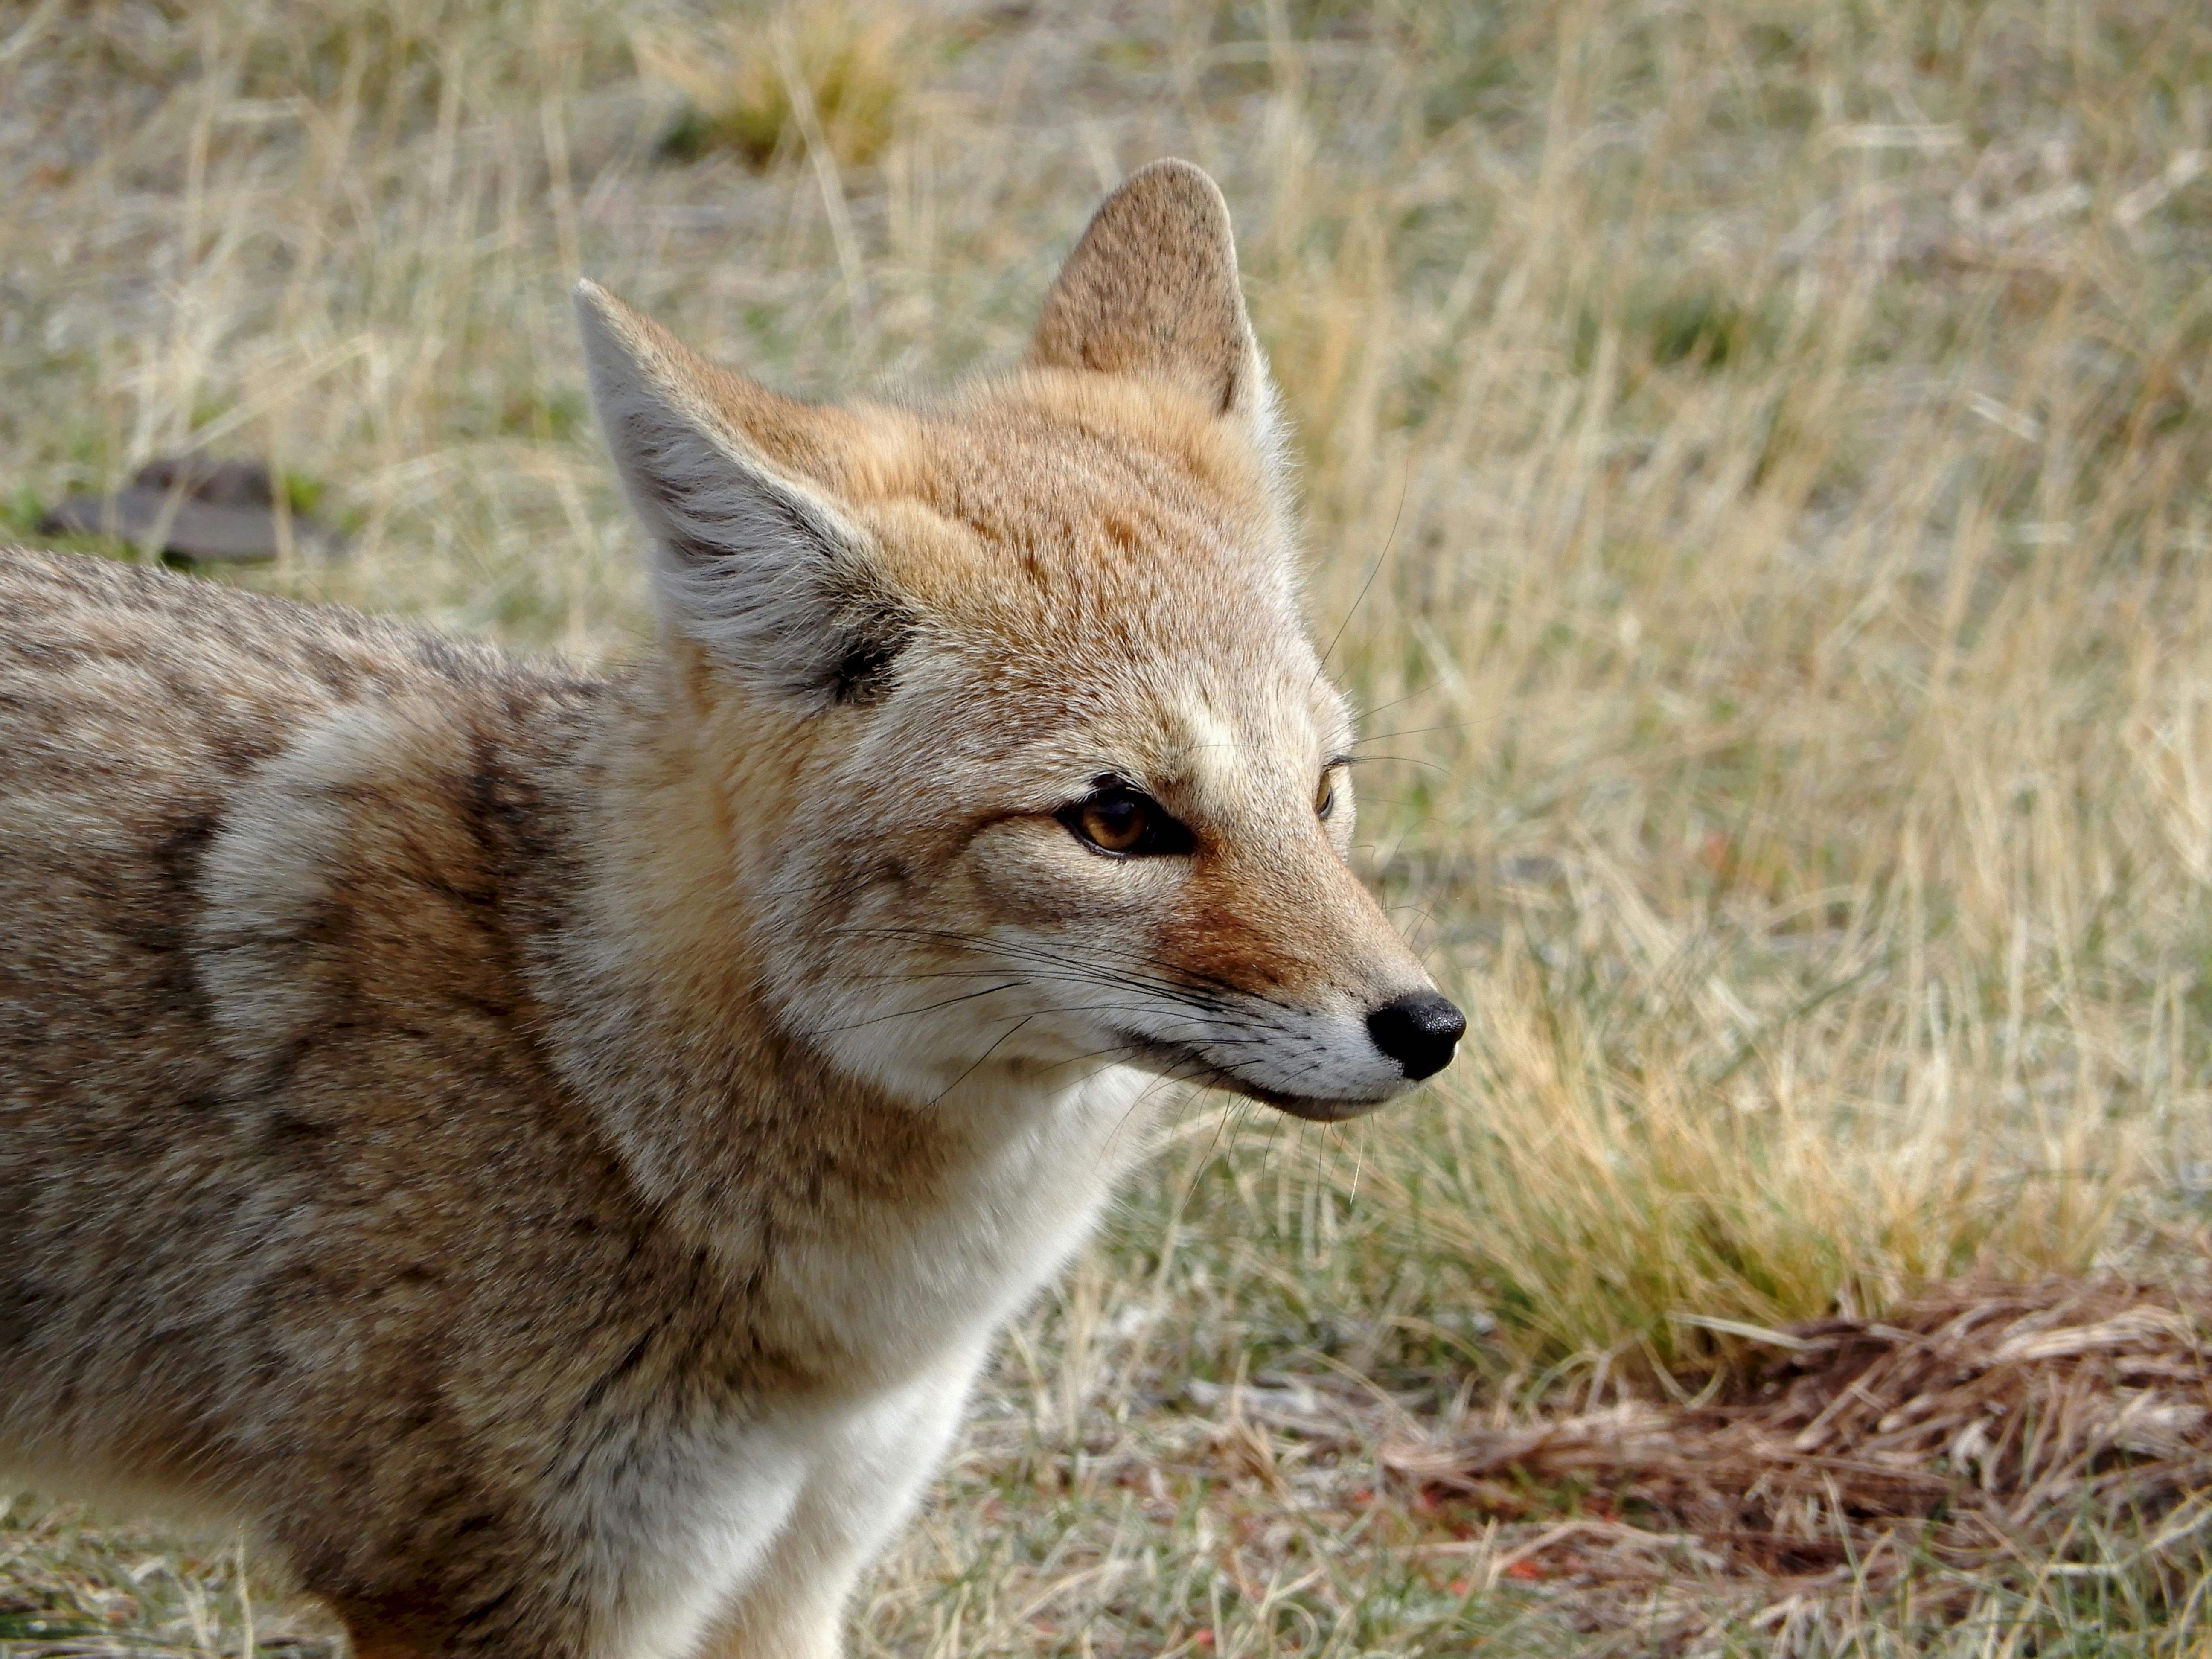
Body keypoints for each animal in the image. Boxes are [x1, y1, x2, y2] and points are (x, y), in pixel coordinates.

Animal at [0, 160, 1464, 1659]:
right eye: (1119, 820)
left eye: (1325, 790)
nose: (1430, 1027)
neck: (576, 1069)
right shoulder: (510, 1601)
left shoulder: (795, 1578)